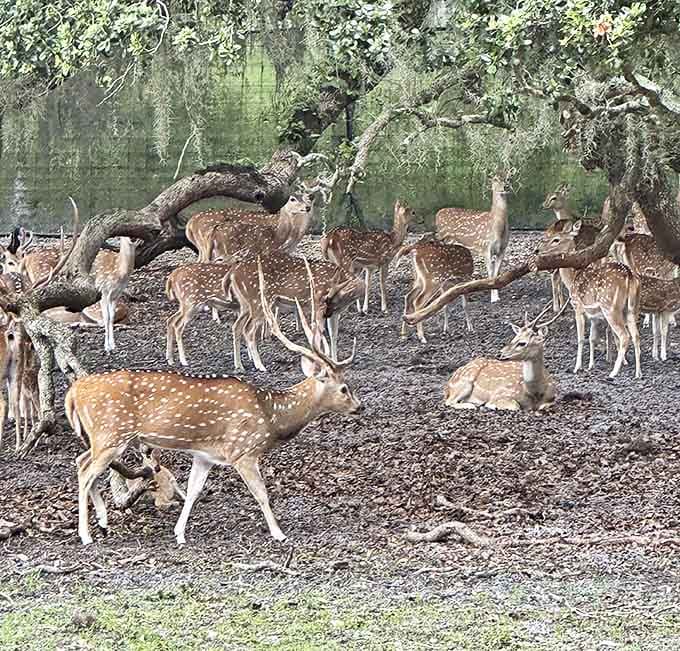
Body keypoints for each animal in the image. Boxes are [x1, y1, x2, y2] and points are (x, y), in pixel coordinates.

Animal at [227, 252, 363, 371]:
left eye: (333, 300)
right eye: (325, 298)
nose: (326, 311)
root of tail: (233, 274)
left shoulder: (334, 312)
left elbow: (333, 334)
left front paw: (334, 361)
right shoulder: (318, 305)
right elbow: (317, 336)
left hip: (245, 304)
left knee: (236, 326)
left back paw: (239, 365)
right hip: (258, 300)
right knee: (248, 330)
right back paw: (260, 366)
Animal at [435, 174, 511, 303]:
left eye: (508, 178)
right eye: (495, 179)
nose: (505, 186)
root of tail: (437, 214)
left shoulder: (502, 249)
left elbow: (496, 274)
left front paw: (497, 297)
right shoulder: (485, 247)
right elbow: (490, 274)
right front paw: (493, 299)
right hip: (444, 239)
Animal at [540, 220, 641, 378]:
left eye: (556, 239)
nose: (538, 250)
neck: (572, 279)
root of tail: (630, 277)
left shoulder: (578, 306)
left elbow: (581, 338)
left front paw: (577, 367)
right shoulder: (594, 315)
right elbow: (592, 338)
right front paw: (590, 365)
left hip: (611, 307)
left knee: (624, 336)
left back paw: (614, 372)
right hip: (632, 307)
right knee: (636, 336)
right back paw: (638, 373)